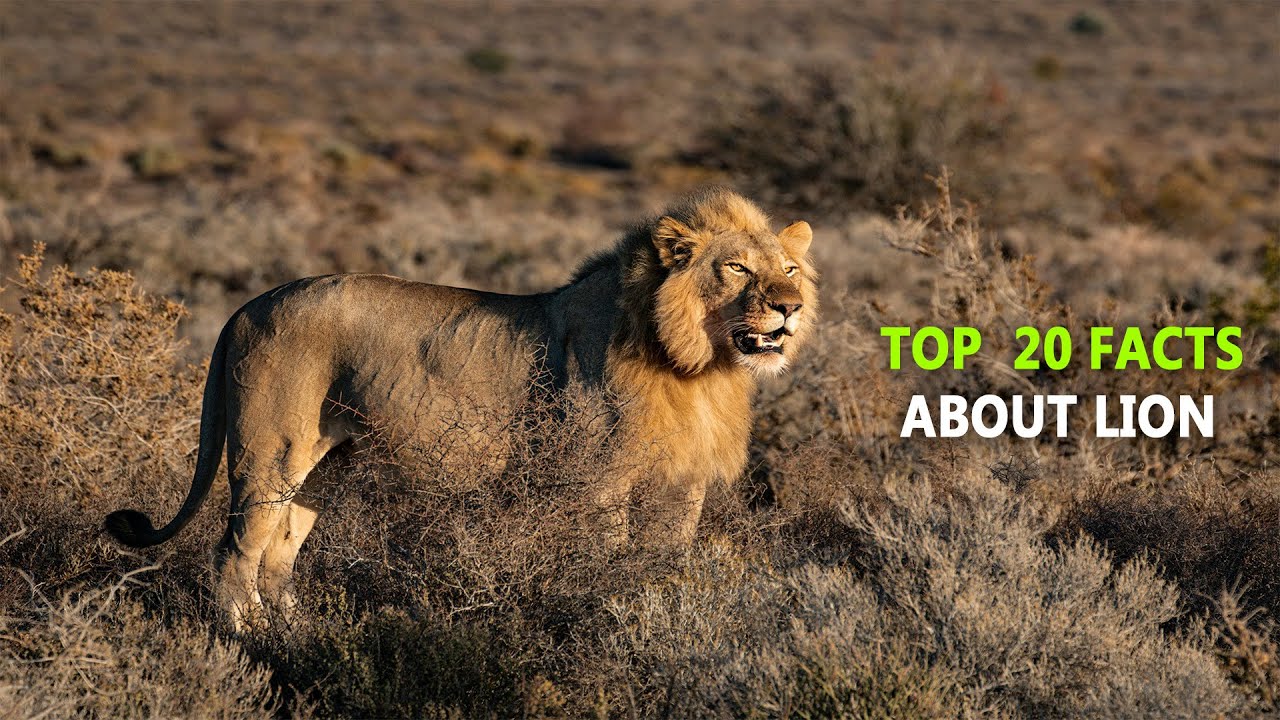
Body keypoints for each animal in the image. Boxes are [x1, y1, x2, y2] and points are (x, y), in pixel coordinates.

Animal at [105, 189, 817, 630]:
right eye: (736, 269)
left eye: (787, 269)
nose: (790, 307)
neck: (699, 367)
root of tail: (247, 306)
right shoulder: (601, 482)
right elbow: (610, 563)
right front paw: (612, 616)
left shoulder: (682, 483)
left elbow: (666, 561)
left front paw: (662, 612)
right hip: (269, 454)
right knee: (234, 554)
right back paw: (247, 644)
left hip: (325, 467)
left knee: (279, 557)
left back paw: (298, 636)